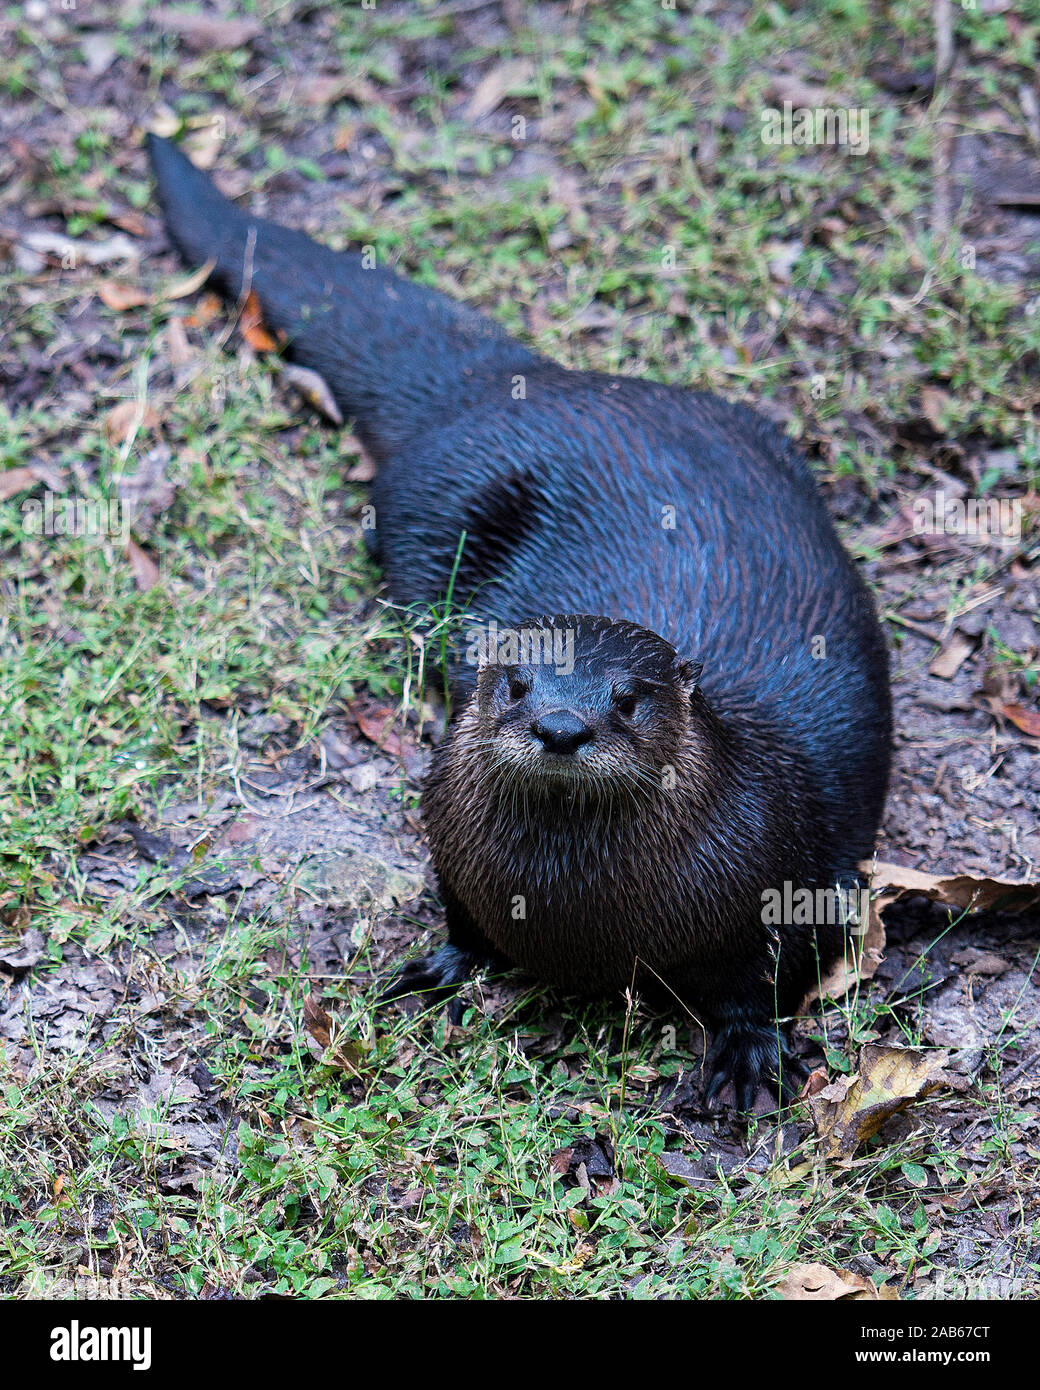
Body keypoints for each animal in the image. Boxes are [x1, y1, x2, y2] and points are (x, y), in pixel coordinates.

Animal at [146, 134, 892, 1110]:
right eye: (516, 682)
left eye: (627, 697)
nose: (561, 726)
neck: (579, 918)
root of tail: (513, 383)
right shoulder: (450, 840)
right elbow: (463, 913)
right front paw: (440, 963)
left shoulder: (790, 877)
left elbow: (765, 979)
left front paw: (746, 1054)